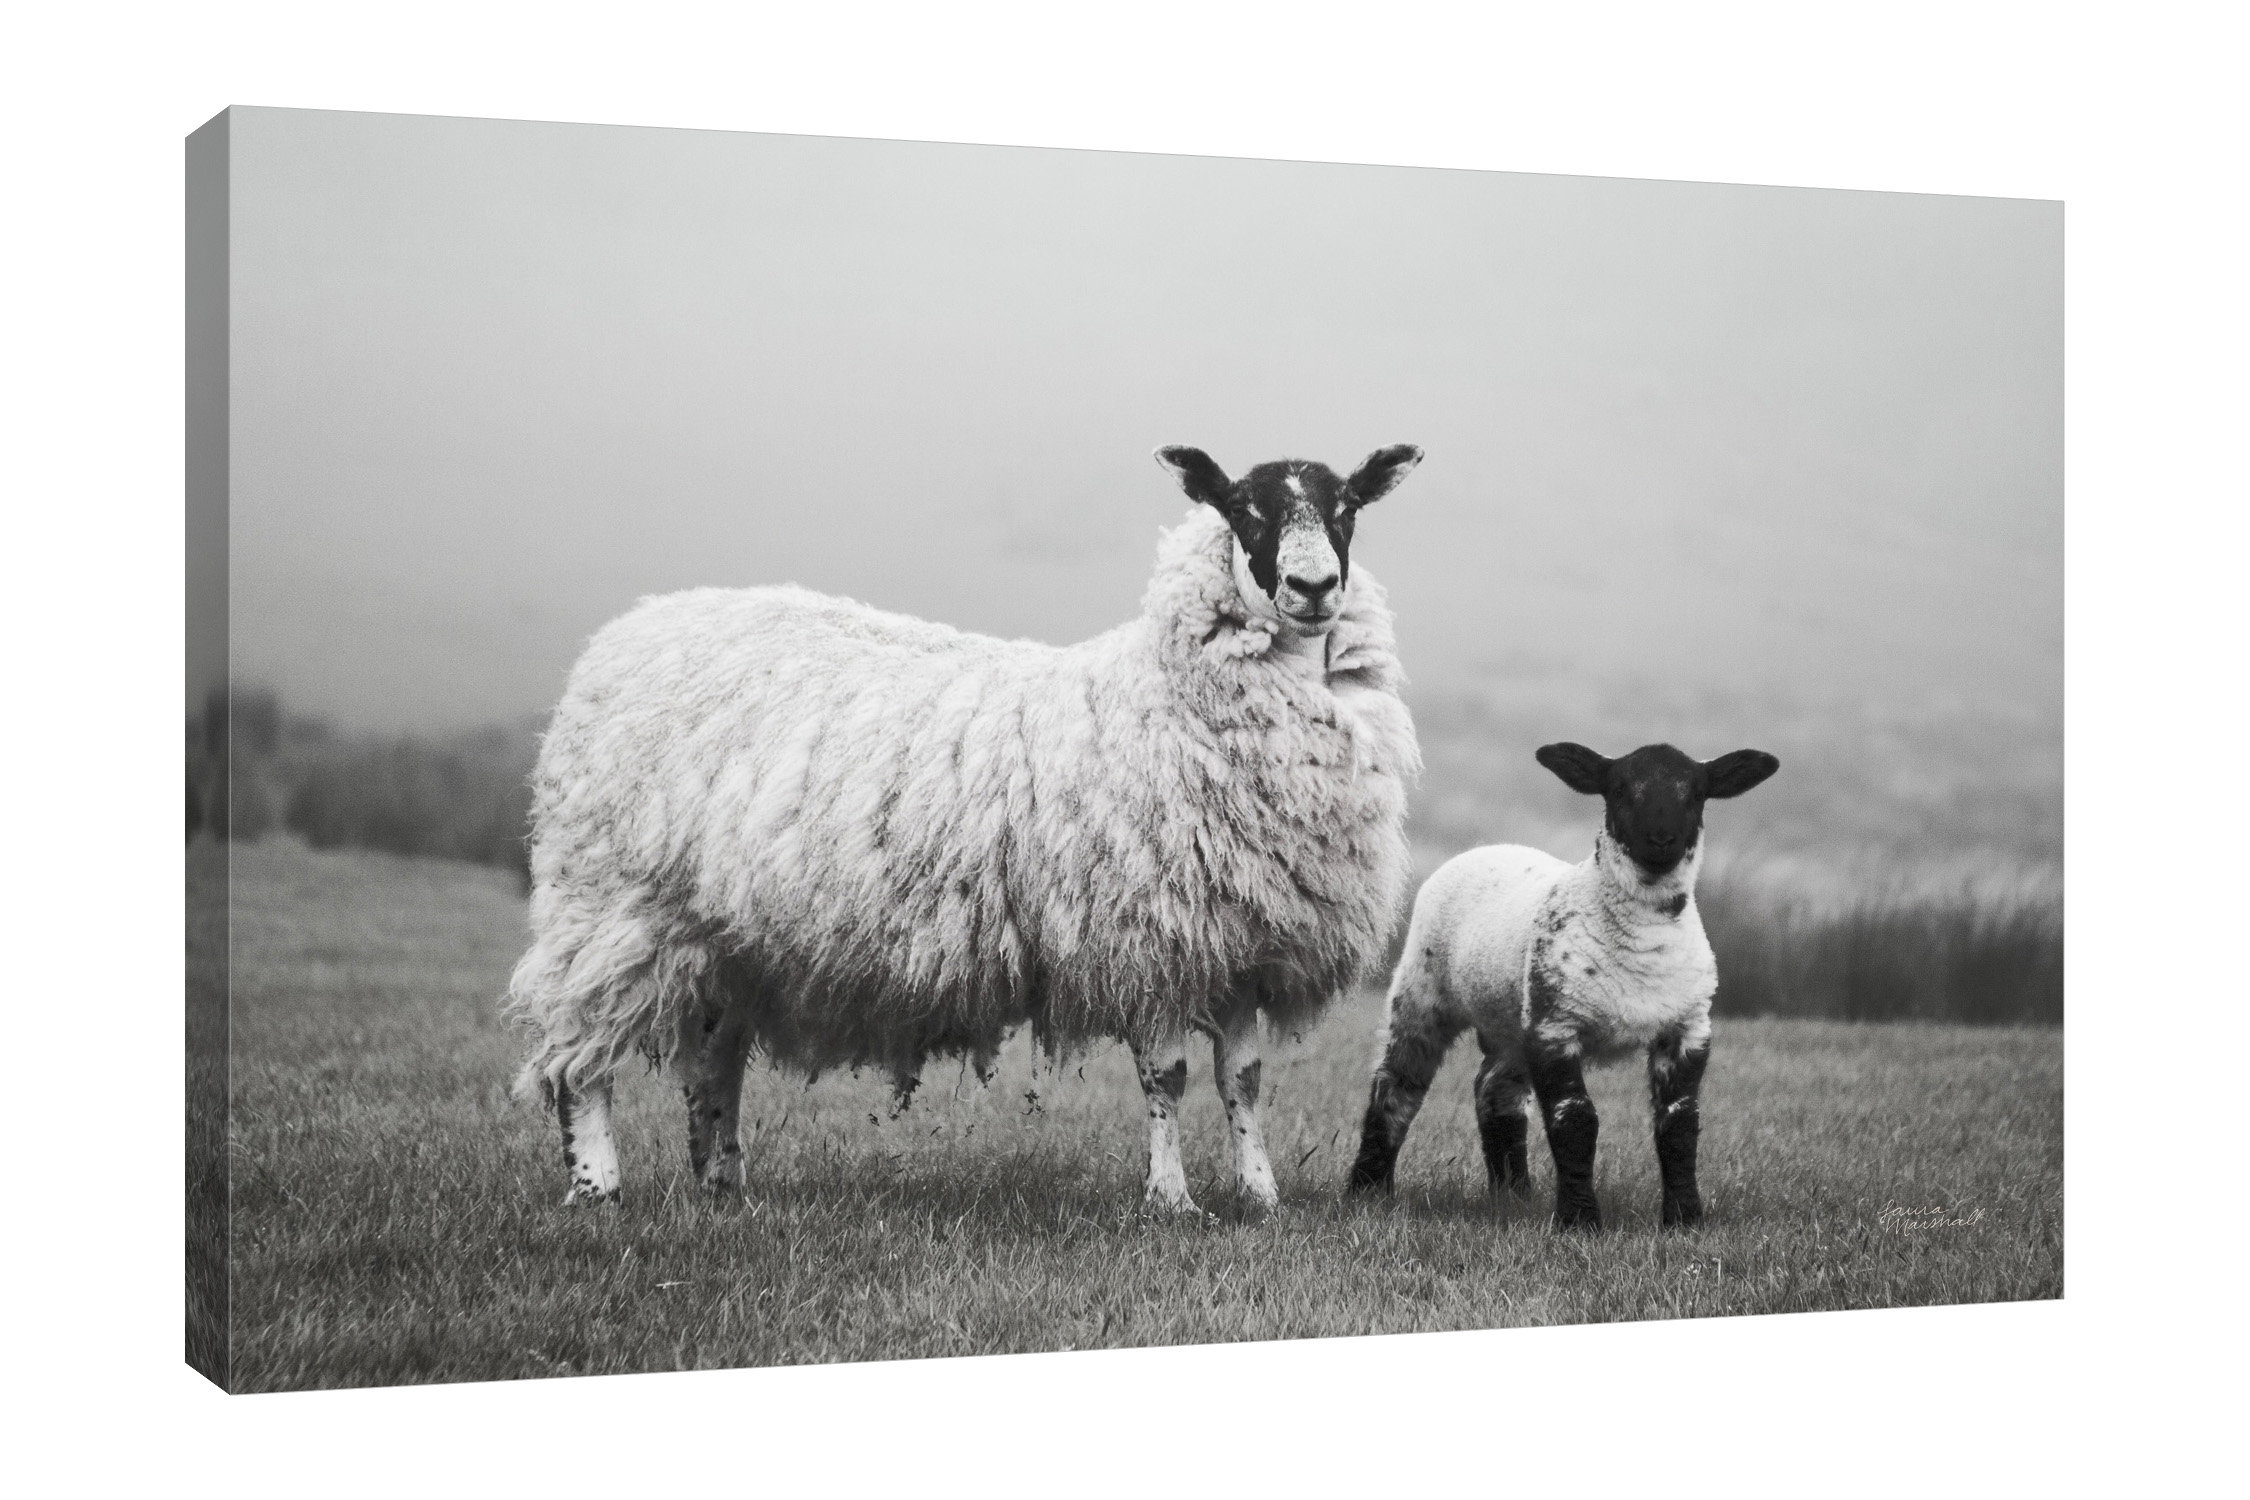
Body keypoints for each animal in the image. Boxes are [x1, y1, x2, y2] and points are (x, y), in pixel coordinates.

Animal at [504, 444, 1426, 1215]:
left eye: (1347, 507)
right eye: (1243, 508)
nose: (1314, 589)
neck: (1166, 691)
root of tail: (627, 631)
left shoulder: (1236, 941)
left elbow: (1245, 1079)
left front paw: (1260, 1199)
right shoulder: (1149, 936)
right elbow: (1166, 1077)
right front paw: (1172, 1203)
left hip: (725, 935)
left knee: (711, 1056)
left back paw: (723, 1182)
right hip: (610, 904)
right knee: (579, 1057)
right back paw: (597, 1187)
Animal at [1347, 740, 1778, 1229]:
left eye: (1696, 792)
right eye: (1618, 789)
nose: (1661, 839)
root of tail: (1489, 846)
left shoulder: (1688, 1029)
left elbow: (1680, 1123)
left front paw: (1685, 1220)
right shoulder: (1556, 1026)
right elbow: (1575, 1120)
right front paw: (1580, 1221)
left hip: (1513, 1021)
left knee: (1496, 1089)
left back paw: (1512, 1194)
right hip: (1423, 991)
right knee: (1397, 1087)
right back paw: (1367, 1190)